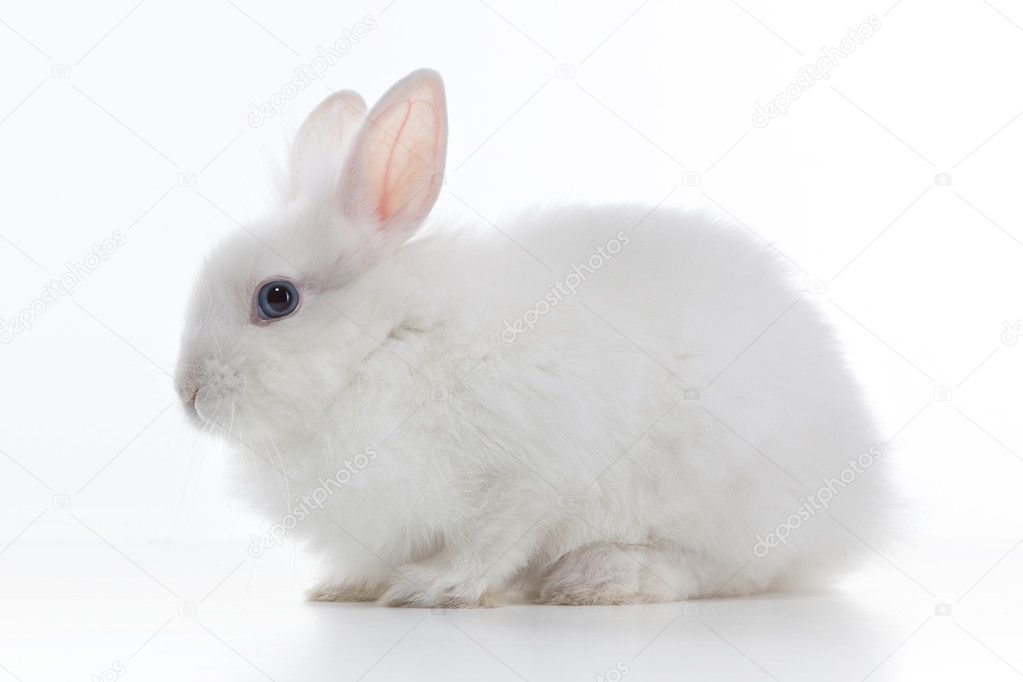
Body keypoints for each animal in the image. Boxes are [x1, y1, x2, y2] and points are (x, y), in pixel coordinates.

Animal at [175, 68, 891, 607]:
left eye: (277, 299)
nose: (187, 392)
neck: (388, 341)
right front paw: (348, 587)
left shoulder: (531, 473)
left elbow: (495, 539)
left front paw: (436, 588)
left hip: (727, 495)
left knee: (724, 571)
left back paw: (602, 577)